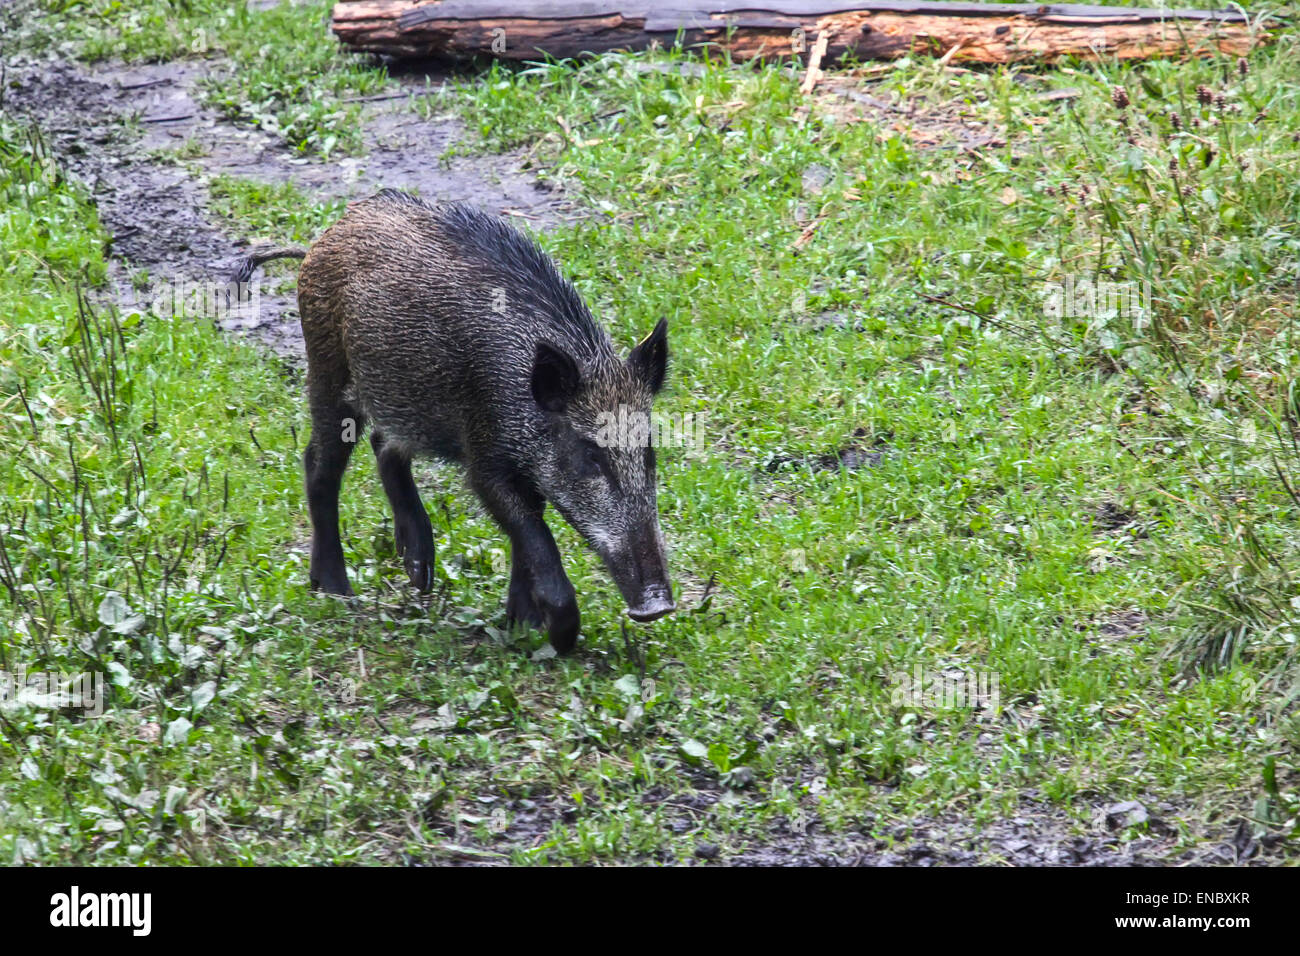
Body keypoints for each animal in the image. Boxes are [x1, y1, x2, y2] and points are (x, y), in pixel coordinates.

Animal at [234, 189, 675, 652]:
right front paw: (558, 634)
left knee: (383, 446)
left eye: (649, 452)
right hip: (328, 369)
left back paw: (419, 575)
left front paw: (520, 624)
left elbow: (527, 534)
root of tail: (323, 238)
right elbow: (532, 534)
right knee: (318, 464)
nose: (658, 605)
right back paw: (338, 593)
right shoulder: (485, 458)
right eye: (590, 454)